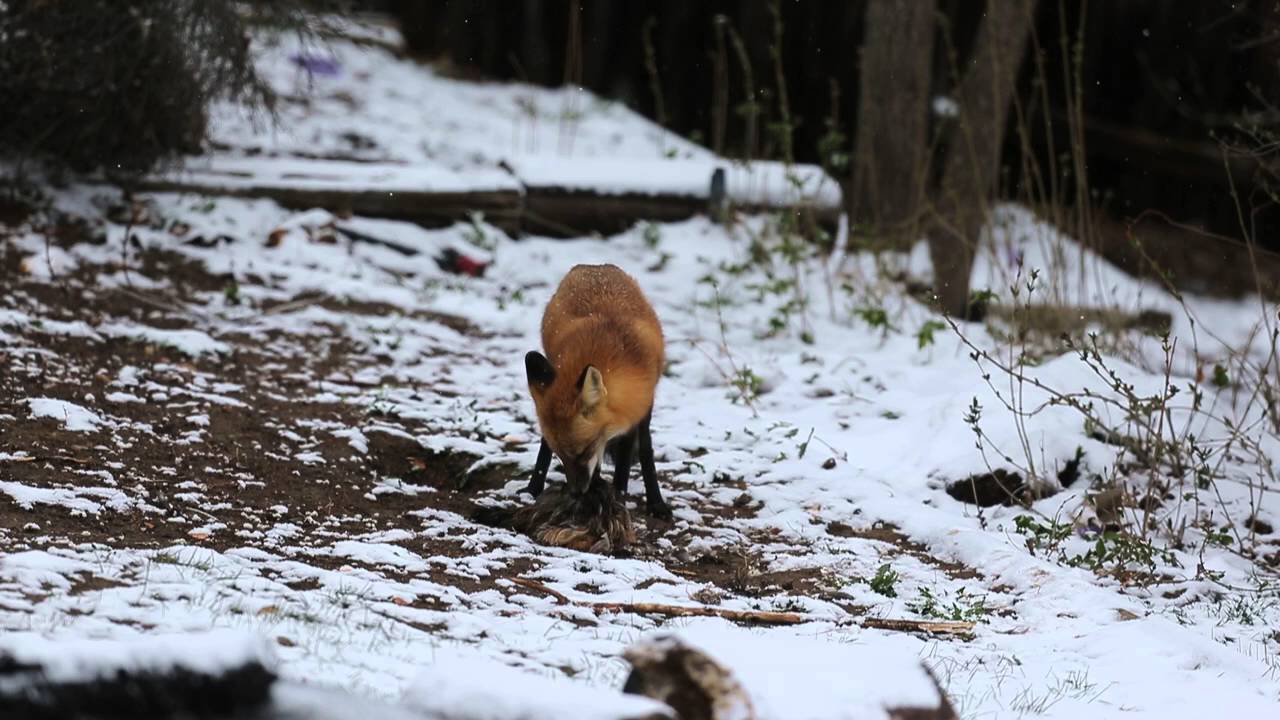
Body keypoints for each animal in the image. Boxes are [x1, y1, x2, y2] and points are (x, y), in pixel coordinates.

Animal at [523, 263, 672, 519]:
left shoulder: (643, 404)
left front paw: (652, 502)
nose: (575, 492)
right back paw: (533, 489)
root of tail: (592, 266)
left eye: (583, 452)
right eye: (561, 456)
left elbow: (642, 452)